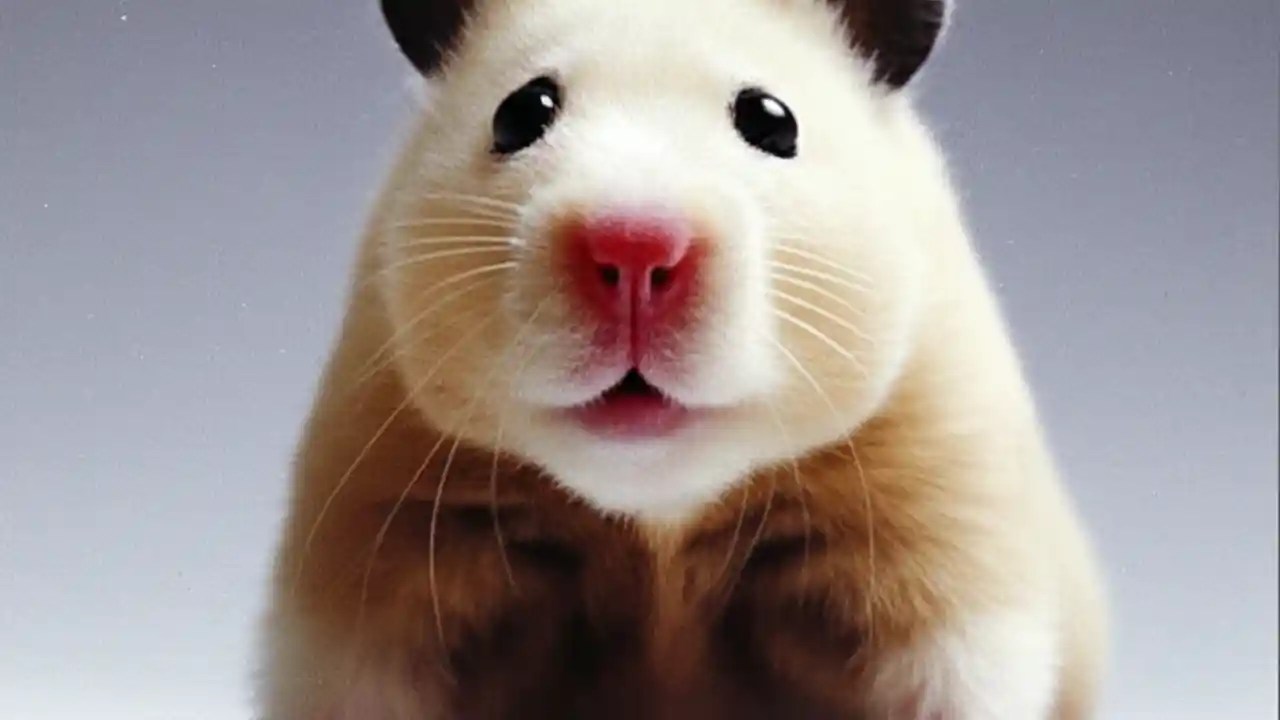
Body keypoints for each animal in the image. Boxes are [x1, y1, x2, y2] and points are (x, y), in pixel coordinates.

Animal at [259, 0, 1108, 718]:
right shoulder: (375, 573)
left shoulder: (944, 562)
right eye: (521, 112)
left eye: (770, 120)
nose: (634, 248)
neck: (659, 516)